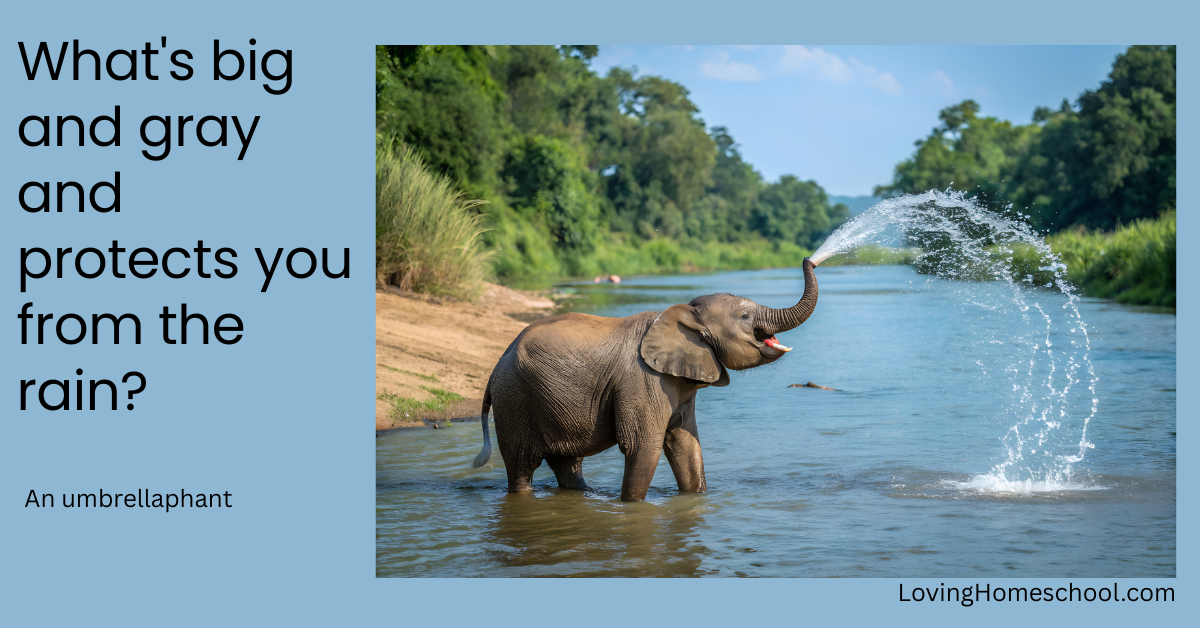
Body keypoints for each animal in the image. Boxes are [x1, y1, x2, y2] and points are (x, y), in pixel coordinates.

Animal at [472, 258, 820, 501]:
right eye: (745, 317)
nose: (811, 259)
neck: (682, 313)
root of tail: (495, 368)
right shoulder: (644, 381)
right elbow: (644, 447)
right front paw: (631, 507)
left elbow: (686, 445)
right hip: (515, 400)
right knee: (521, 467)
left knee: (566, 463)